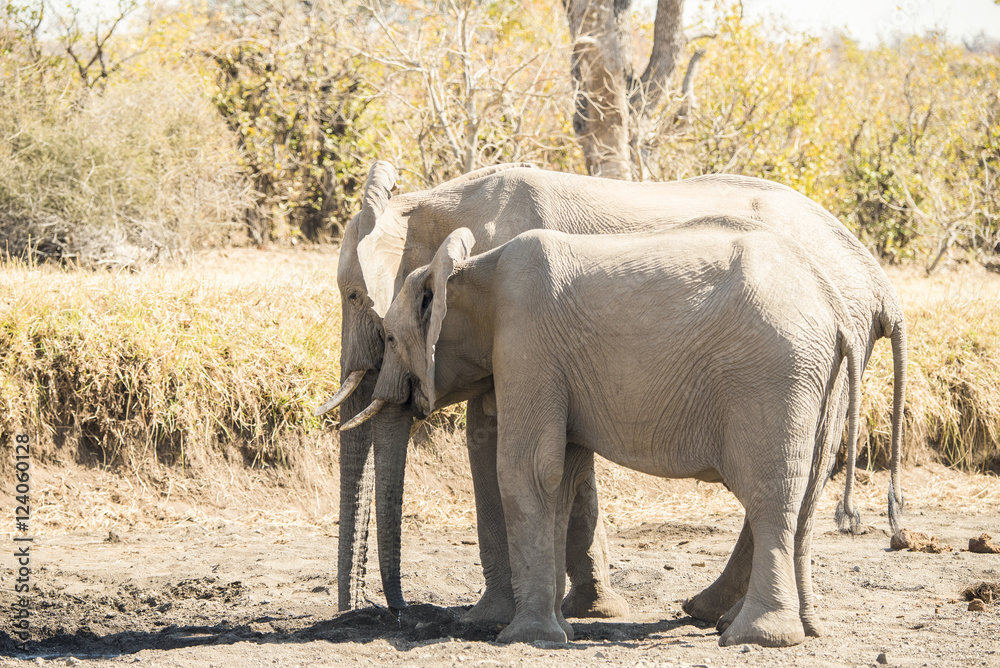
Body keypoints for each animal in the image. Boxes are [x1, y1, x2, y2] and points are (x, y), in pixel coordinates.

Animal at [317, 161, 906, 626]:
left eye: (354, 297)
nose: (388, 611)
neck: (425, 205)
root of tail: (881, 287)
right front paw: (582, 610)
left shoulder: (524, 329)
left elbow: (492, 441)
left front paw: (490, 620)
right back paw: (727, 615)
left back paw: (719, 616)